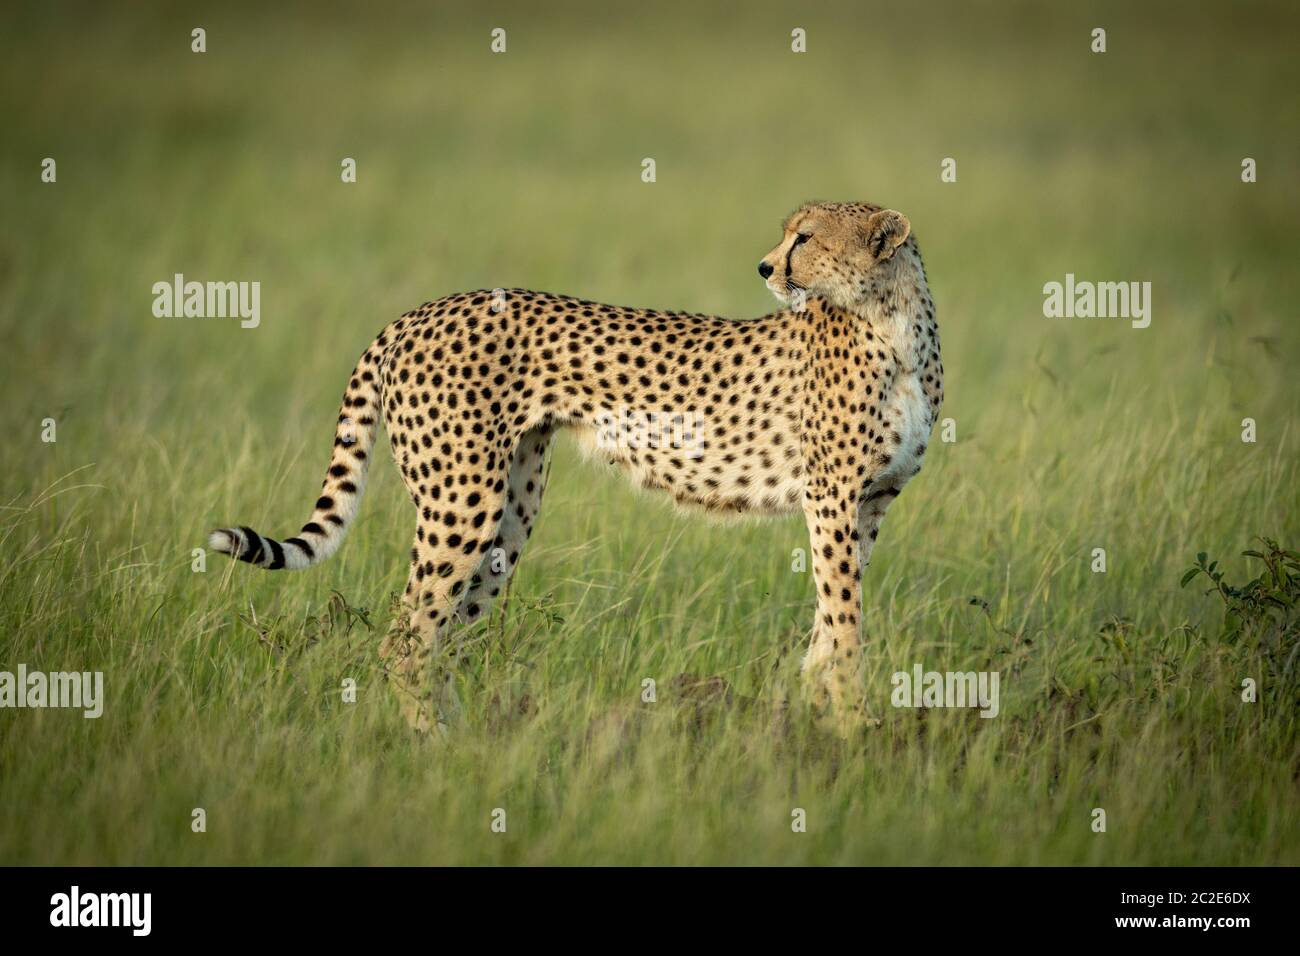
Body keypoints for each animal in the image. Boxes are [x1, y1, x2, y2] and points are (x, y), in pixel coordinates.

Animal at [207, 200, 943, 735]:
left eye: (807, 237)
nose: (765, 268)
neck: (892, 321)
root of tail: (416, 312)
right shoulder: (832, 497)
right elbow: (844, 618)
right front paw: (852, 729)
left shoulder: (869, 502)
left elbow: (830, 618)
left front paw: (818, 718)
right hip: (462, 501)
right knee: (407, 639)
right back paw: (433, 747)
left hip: (510, 511)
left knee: (443, 633)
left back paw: (467, 741)